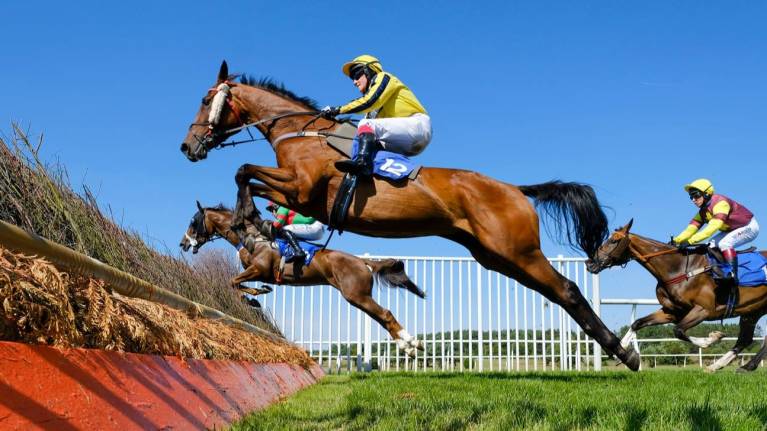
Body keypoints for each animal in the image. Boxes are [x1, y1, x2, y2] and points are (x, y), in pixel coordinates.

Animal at [179, 202, 428, 357]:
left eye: (193, 222)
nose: (183, 243)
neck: (253, 238)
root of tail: (363, 261)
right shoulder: (255, 272)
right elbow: (237, 283)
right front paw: (257, 295)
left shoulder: (259, 269)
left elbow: (233, 282)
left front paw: (254, 298)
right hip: (357, 297)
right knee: (382, 317)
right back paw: (408, 345)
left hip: (355, 295)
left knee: (385, 314)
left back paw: (412, 344)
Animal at [586, 219, 767, 372]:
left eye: (613, 240)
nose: (590, 263)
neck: (678, 269)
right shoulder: (672, 311)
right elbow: (638, 323)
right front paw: (620, 351)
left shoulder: (704, 310)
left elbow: (678, 331)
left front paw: (711, 339)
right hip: (753, 311)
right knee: (745, 339)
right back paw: (723, 366)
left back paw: (744, 366)